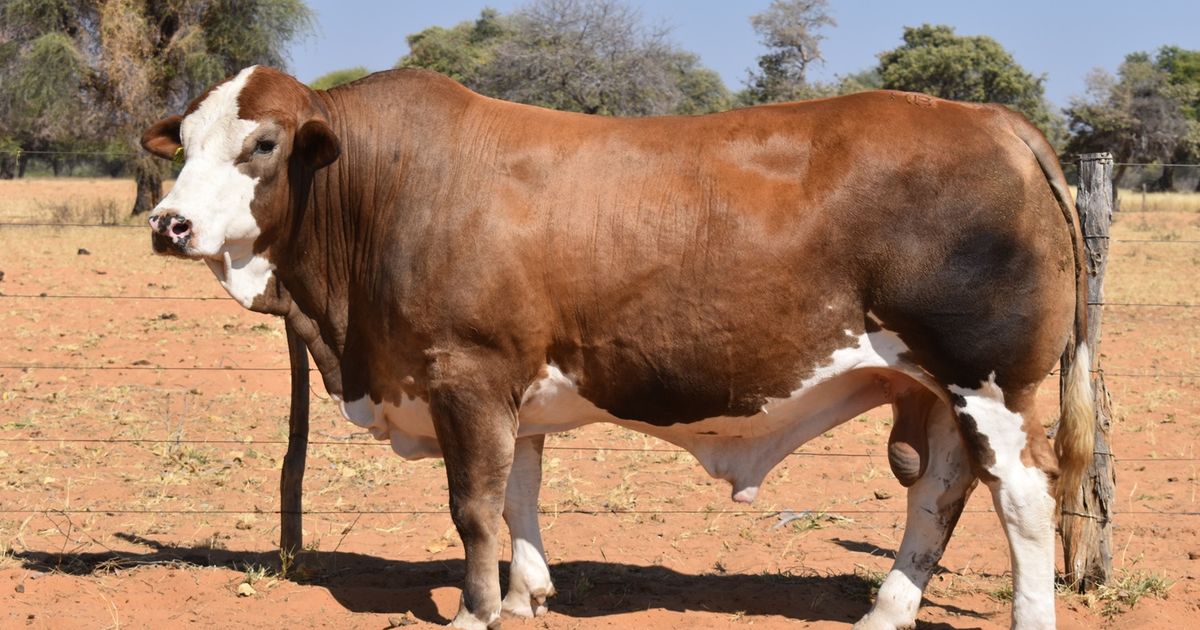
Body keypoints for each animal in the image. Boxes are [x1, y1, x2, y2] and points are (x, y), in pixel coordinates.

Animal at [141, 65, 1094, 629]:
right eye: (182, 143)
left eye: (262, 144)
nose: (168, 224)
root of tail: (995, 119)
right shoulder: (512, 388)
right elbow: (519, 495)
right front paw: (526, 594)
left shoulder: (467, 375)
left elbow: (474, 507)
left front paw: (475, 610)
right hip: (939, 390)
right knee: (938, 493)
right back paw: (886, 612)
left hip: (989, 381)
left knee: (1023, 500)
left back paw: (1026, 616)